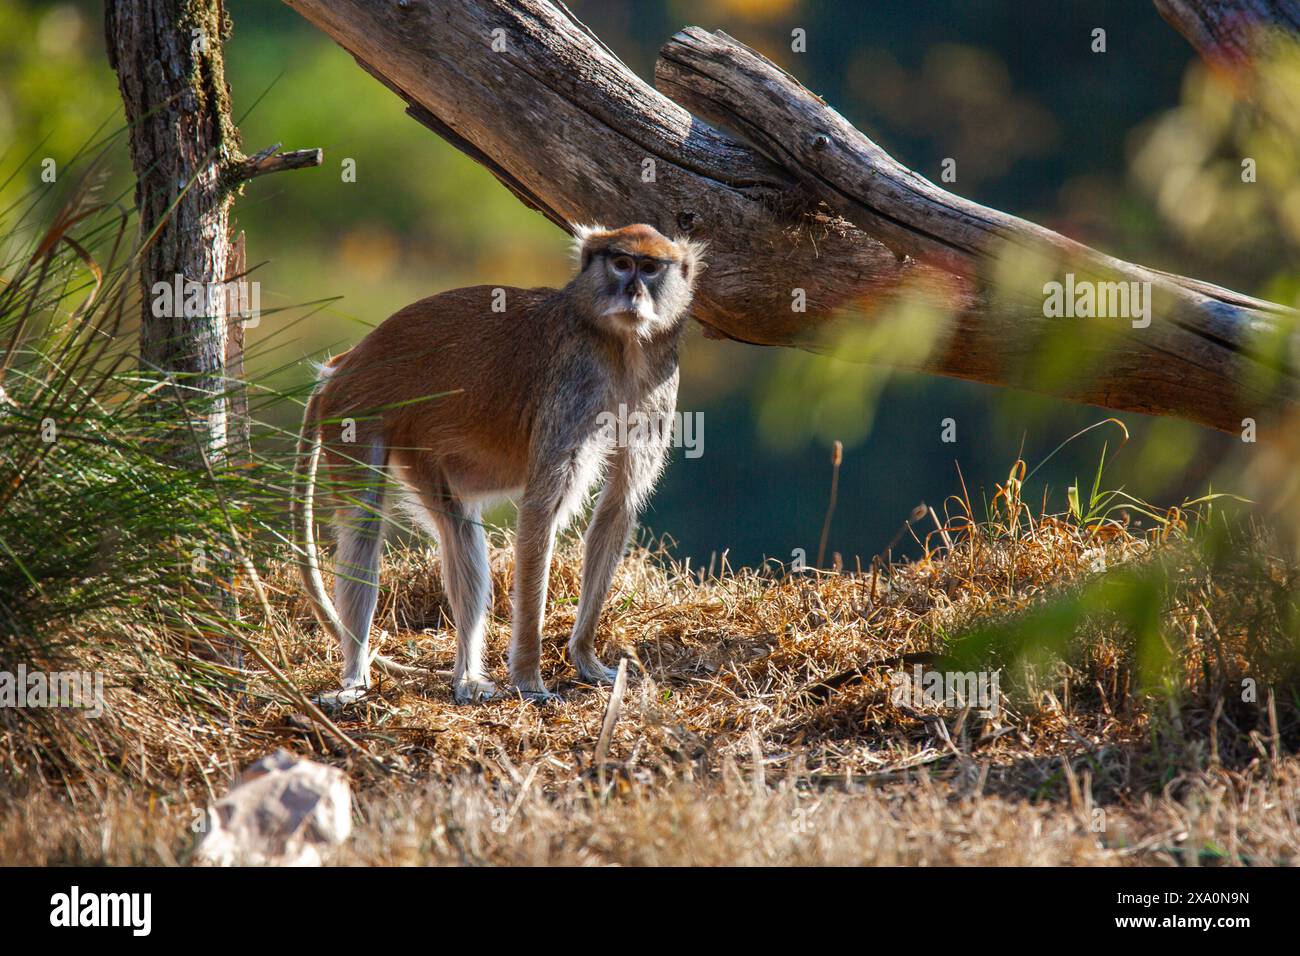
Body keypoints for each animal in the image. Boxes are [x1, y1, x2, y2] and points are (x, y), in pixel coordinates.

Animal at [292, 223, 704, 705]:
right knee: (363, 524)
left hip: (418, 443)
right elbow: (541, 511)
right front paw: (528, 678)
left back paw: (467, 677)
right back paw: (356, 678)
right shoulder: (572, 386)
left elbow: (617, 507)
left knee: (458, 530)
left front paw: (585, 657)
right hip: (355, 413)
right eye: (621, 263)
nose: (633, 292)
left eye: (650, 267)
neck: (620, 344)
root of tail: (344, 364)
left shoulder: (659, 386)